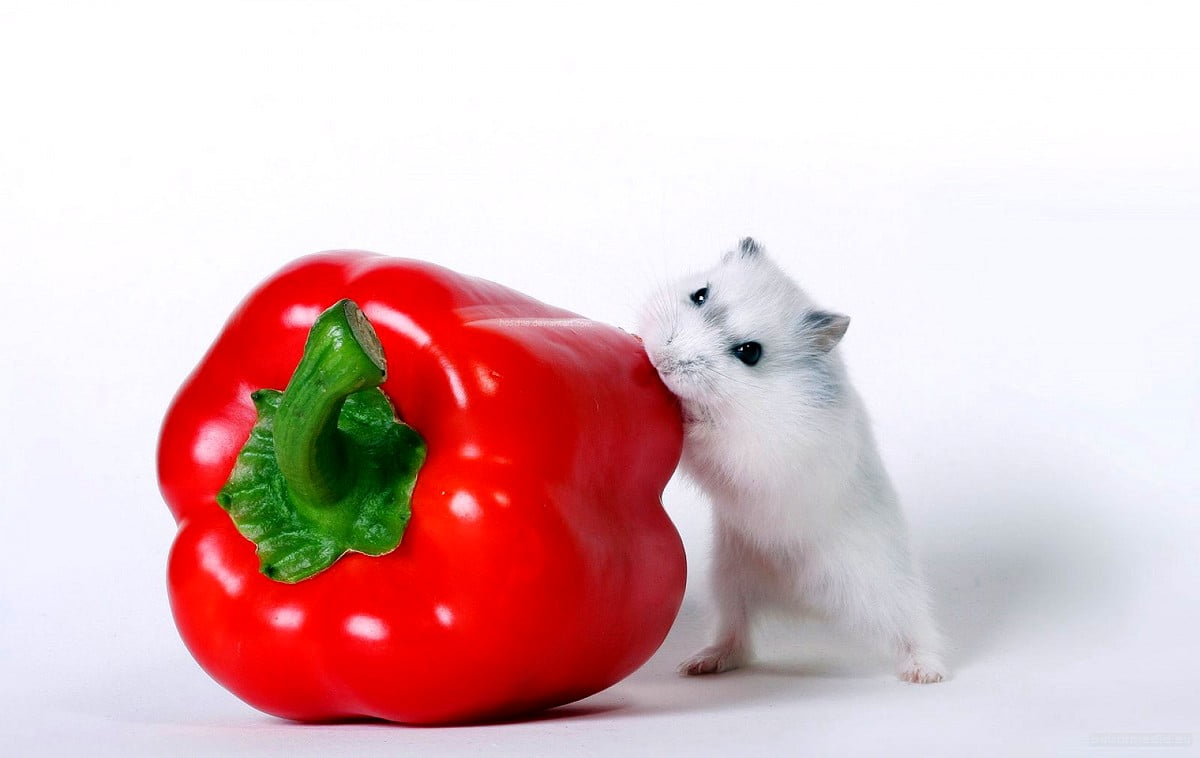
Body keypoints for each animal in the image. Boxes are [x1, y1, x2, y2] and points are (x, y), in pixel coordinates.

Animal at [638, 238, 945, 684]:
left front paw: (685, 411)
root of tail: (811, 607)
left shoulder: (760, 450)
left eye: (749, 352)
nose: (661, 359)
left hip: (886, 589)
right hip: (729, 581)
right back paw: (698, 664)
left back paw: (924, 672)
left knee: (915, 630)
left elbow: (712, 436)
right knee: (738, 637)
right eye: (700, 295)